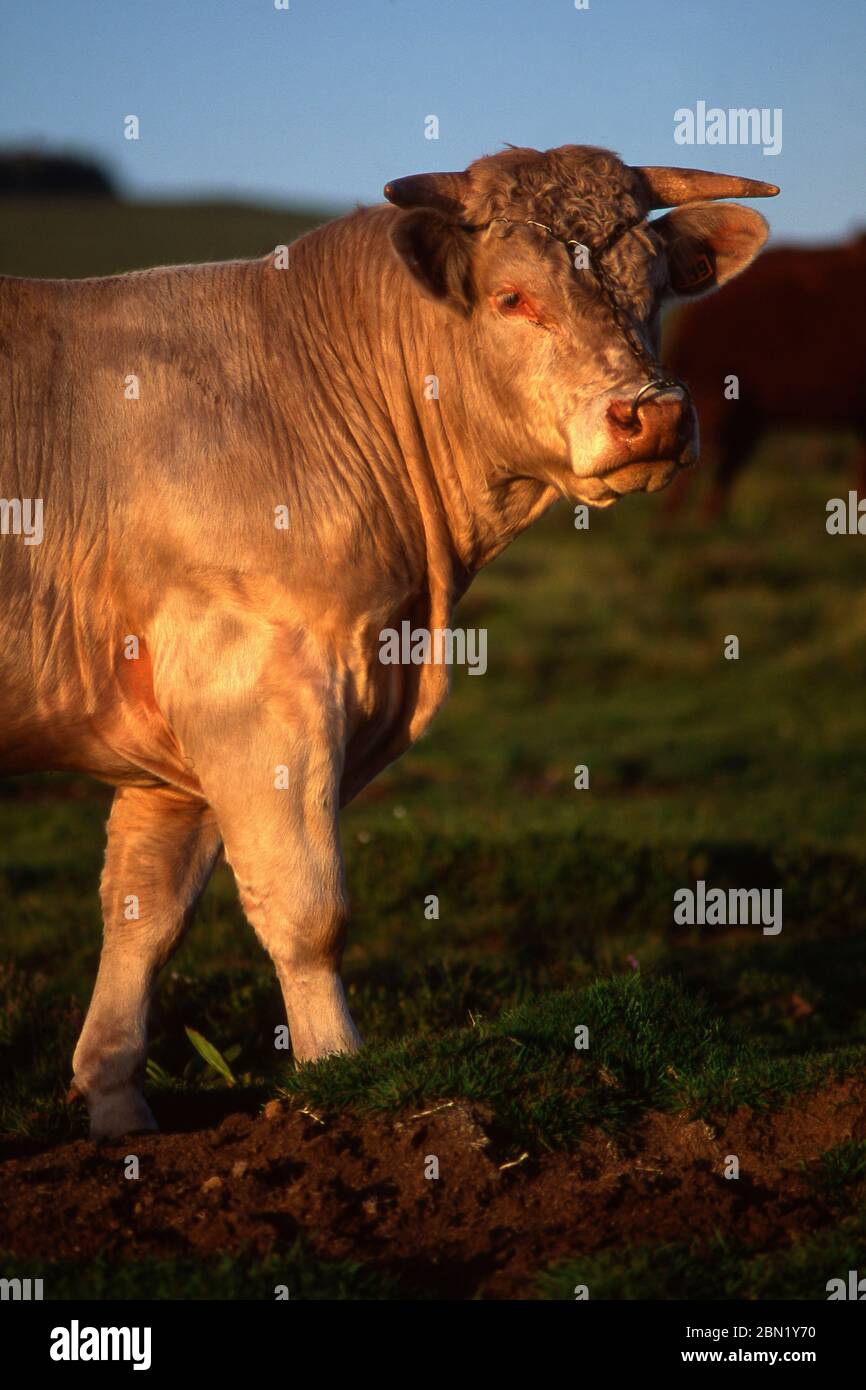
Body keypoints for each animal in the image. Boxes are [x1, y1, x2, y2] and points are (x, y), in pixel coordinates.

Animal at [0, 145, 777, 1138]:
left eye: (653, 292)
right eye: (514, 297)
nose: (658, 416)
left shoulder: (168, 742)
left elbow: (145, 910)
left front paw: (116, 1101)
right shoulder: (254, 687)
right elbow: (308, 908)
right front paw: (339, 1078)